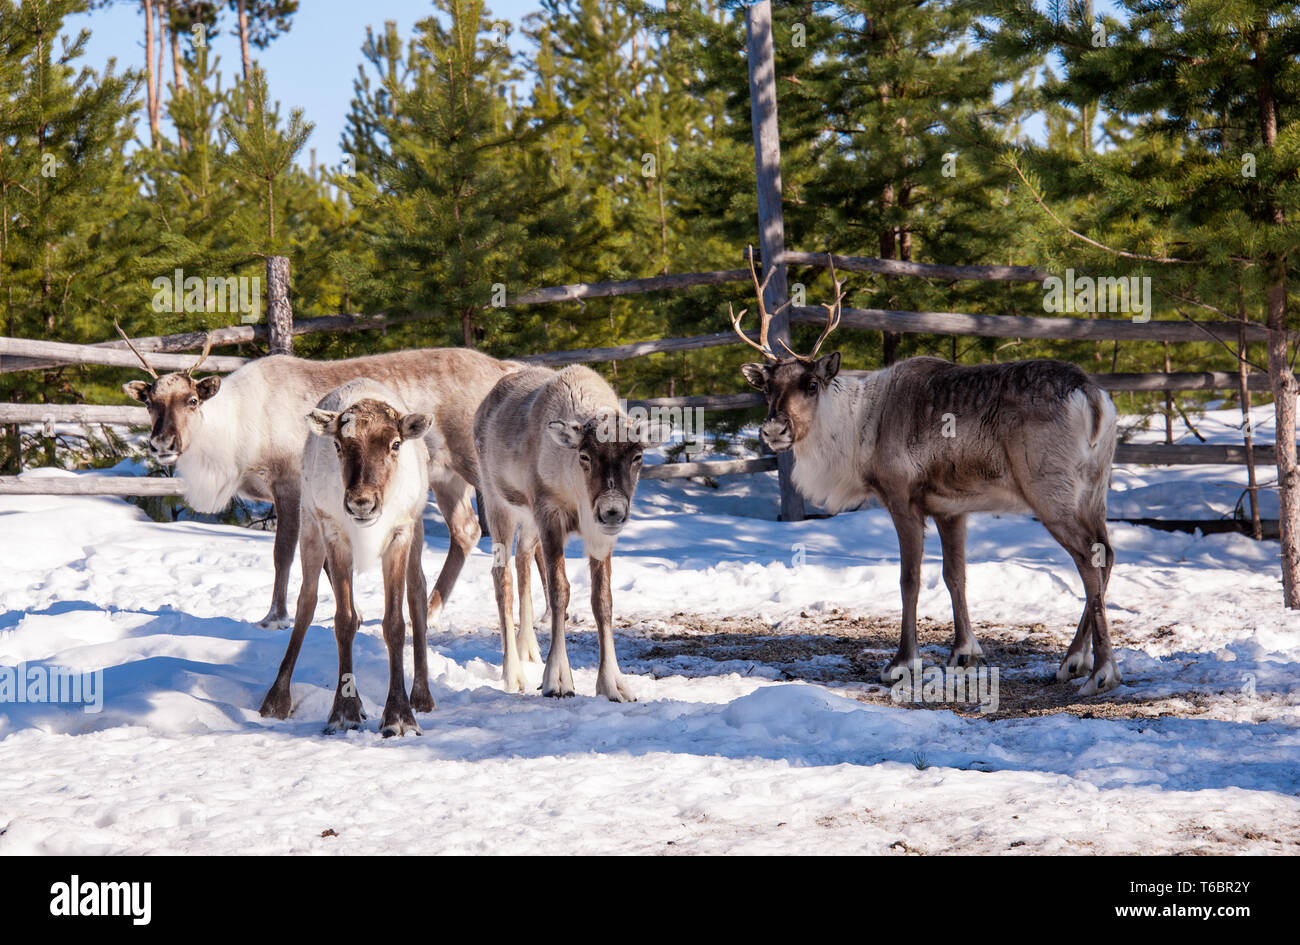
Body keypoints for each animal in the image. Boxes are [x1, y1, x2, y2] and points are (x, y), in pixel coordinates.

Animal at [115, 325, 545, 656]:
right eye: (150, 402)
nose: (162, 443)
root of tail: (507, 366)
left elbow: (281, 555)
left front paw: (274, 617)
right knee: (467, 530)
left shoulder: (288, 484)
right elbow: (325, 564)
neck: (234, 439)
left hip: (479, 467)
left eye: (191, 400)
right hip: (446, 477)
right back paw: (435, 608)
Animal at [259, 379, 432, 735]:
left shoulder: (400, 533)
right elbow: (344, 620)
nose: (360, 503)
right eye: (339, 445)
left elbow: (395, 622)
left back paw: (422, 695)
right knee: (306, 601)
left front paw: (400, 716)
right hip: (310, 527)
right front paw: (344, 711)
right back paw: (277, 697)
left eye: (395, 443)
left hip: (417, 531)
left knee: (418, 594)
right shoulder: (334, 533)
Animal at [474, 365, 670, 702]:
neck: (576, 491)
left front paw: (613, 683)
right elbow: (559, 592)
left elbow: (603, 600)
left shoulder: (599, 535)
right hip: (497, 502)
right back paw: (513, 674)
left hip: (528, 521)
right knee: (502, 577)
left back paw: (529, 650)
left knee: (523, 560)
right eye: (585, 456)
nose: (612, 510)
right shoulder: (550, 515)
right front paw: (557, 679)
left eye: (637, 456)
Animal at [732, 252, 1121, 696]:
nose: (773, 430)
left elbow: (910, 580)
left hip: (1050, 492)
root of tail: (1092, 395)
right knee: (1107, 553)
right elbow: (956, 575)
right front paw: (965, 651)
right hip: (1094, 491)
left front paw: (902, 662)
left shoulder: (902, 497)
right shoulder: (951, 508)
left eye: (811, 384)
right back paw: (1073, 660)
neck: (857, 429)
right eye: (767, 387)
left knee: (1089, 558)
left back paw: (1100, 671)